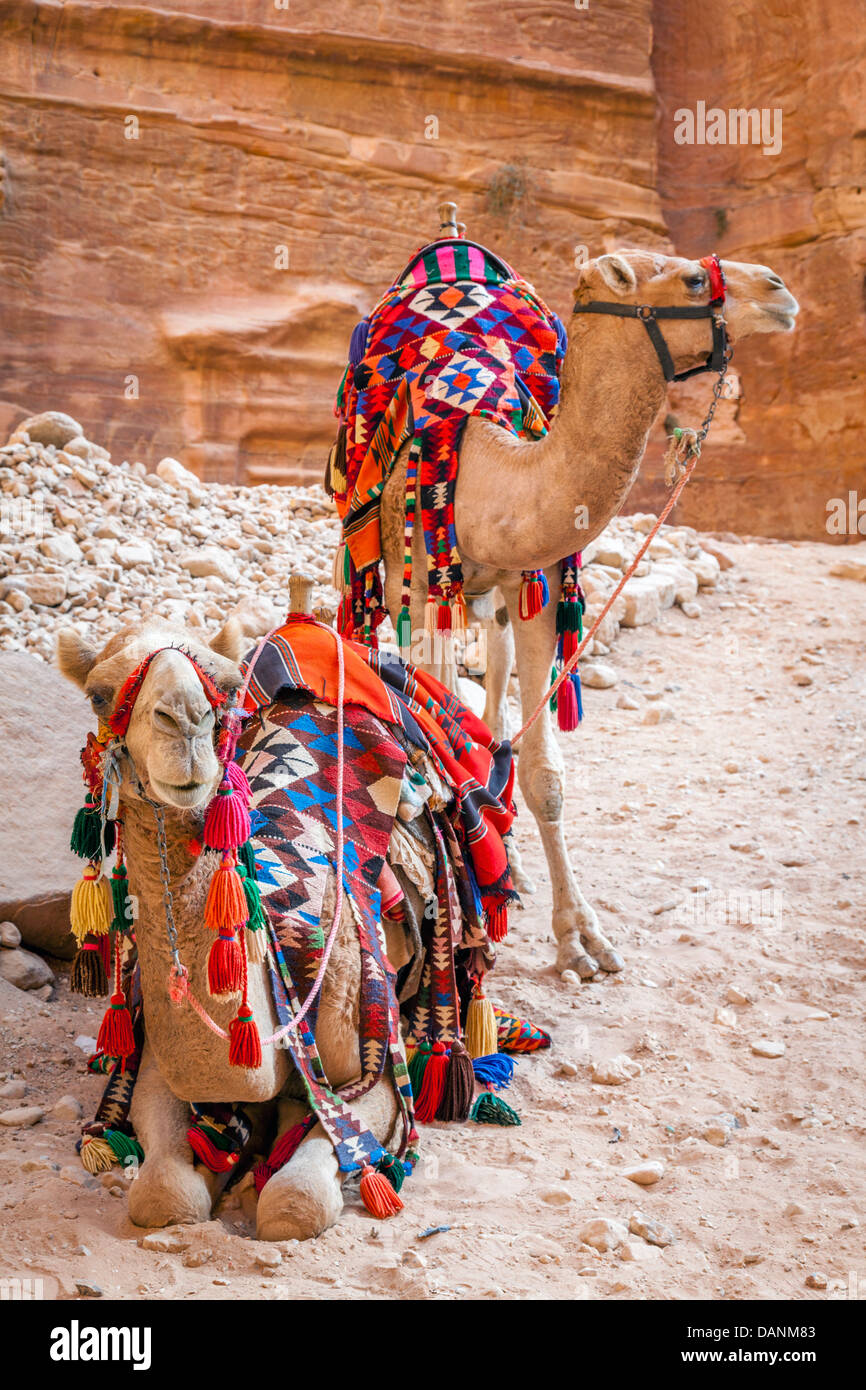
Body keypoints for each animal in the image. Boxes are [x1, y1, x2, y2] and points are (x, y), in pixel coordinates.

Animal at [57, 616, 409, 1240]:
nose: (184, 723)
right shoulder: (156, 1068)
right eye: (98, 694)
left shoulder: (378, 1072)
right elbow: (163, 1194)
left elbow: (297, 1200)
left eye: (224, 688)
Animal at [376, 239, 799, 979]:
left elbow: (544, 773)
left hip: (494, 599)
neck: (484, 468)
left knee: (495, 704)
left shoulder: (537, 583)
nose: (780, 289)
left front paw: (580, 938)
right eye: (694, 279)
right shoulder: (425, 585)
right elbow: (437, 748)